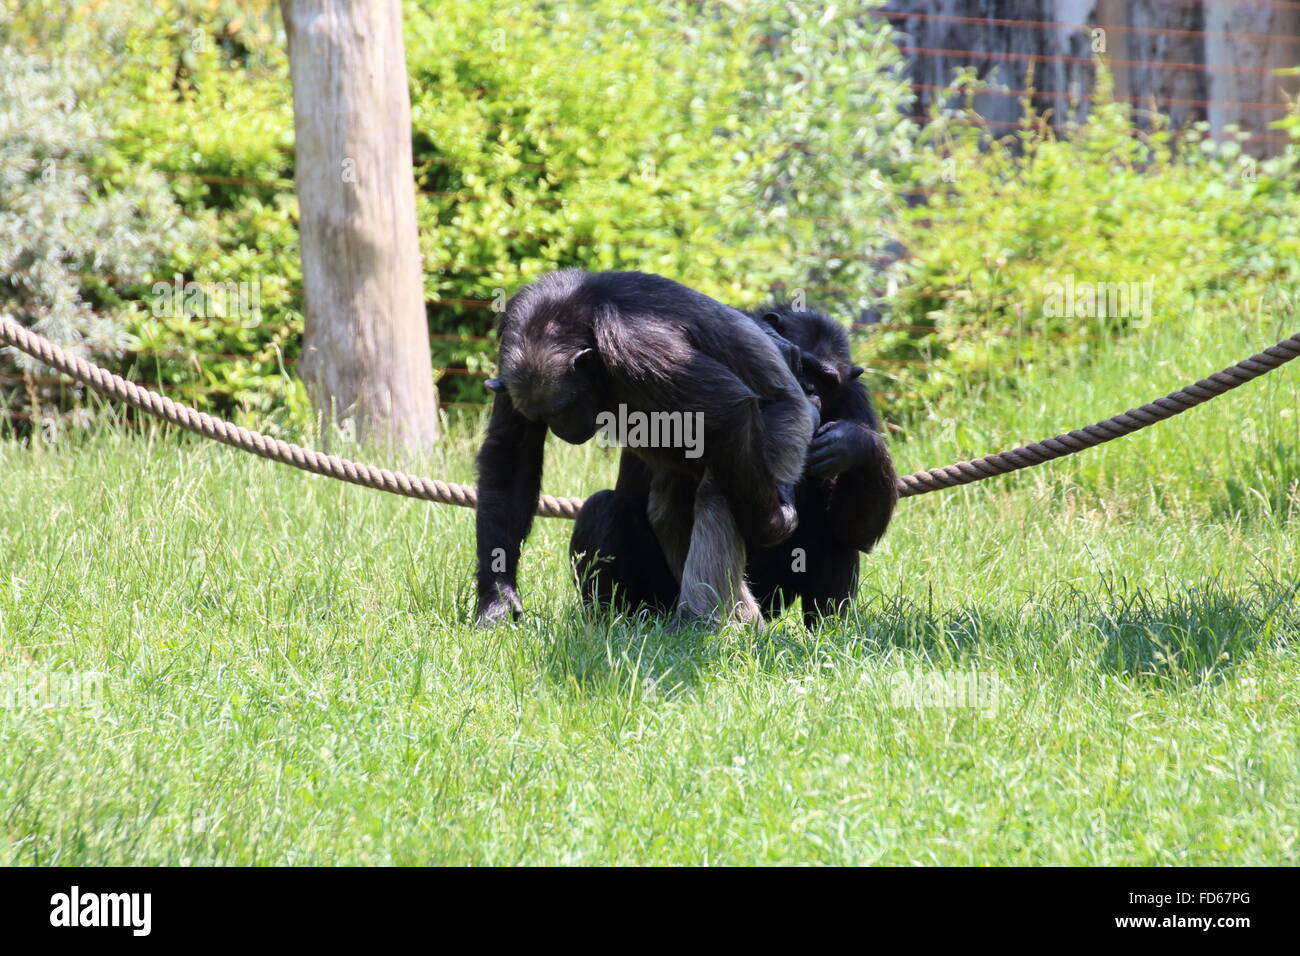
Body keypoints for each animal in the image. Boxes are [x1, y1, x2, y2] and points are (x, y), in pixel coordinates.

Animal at [475, 269, 817, 627]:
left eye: (562, 408)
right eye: (542, 415)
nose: (561, 430)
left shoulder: (639, 347)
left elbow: (728, 409)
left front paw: (772, 525)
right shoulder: (512, 337)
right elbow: (512, 450)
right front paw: (498, 598)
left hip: (788, 427)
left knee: (717, 491)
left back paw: (715, 618)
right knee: (647, 509)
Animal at [570, 304, 896, 627]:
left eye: (827, 381)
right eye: (803, 366)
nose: (808, 388)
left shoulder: (855, 399)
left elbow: (856, 531)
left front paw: (853, 443)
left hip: (773, 598)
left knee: (835, 533)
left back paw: (828, 629)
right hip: (659, 599)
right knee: (603, 507)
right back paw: (612, 619)